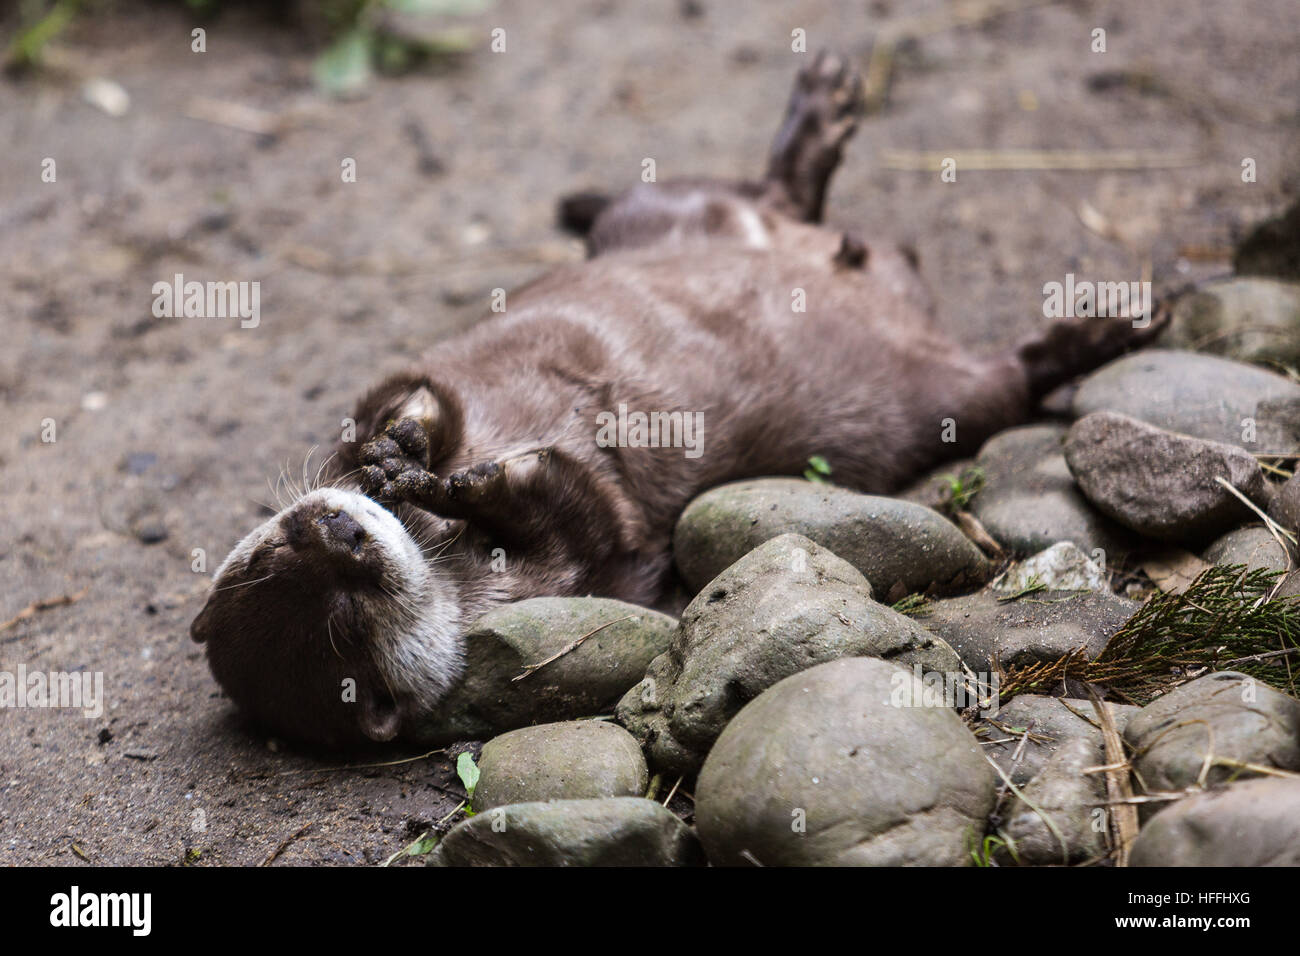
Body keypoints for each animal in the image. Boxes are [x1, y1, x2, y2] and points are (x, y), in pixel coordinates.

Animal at [190, 53, 1165, 748]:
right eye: (345, 618)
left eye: (279, 548)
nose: (340, 529)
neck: (442, 551)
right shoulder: (579, 573)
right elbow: (585, 514)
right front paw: (473, 483)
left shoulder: (407, 383)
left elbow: (401, 395)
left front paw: (401, 450)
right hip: (941, 397)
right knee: (1006, 377)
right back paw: (1109, 326)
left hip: (657, 215)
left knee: (755, 192)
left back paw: (821, 105)